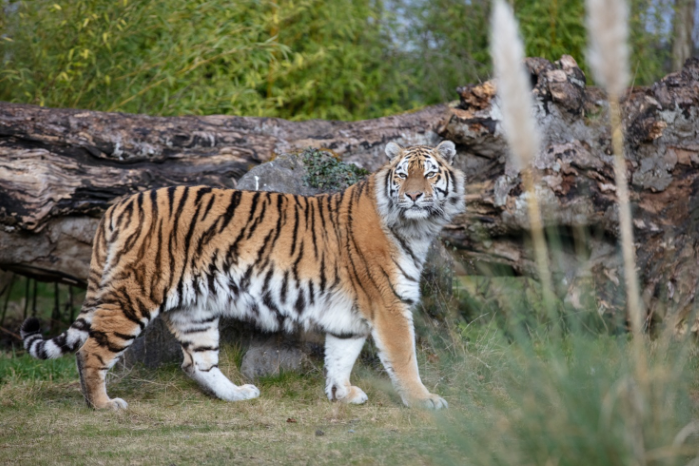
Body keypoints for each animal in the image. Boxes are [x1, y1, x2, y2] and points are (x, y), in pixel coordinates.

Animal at [21, 141, 465, 411]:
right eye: (403, 174)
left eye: (430, 174)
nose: (413, 196)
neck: (415, 229)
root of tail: (121, 203)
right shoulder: (389, 305)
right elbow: (404, 358)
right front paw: (425, 400)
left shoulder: (351, 314)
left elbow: (341, 355)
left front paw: (340, 394)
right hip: (133, 296)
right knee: (90, 351)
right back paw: (103, 405)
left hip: (195, 309)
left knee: (197, 363)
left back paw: (237, 395)